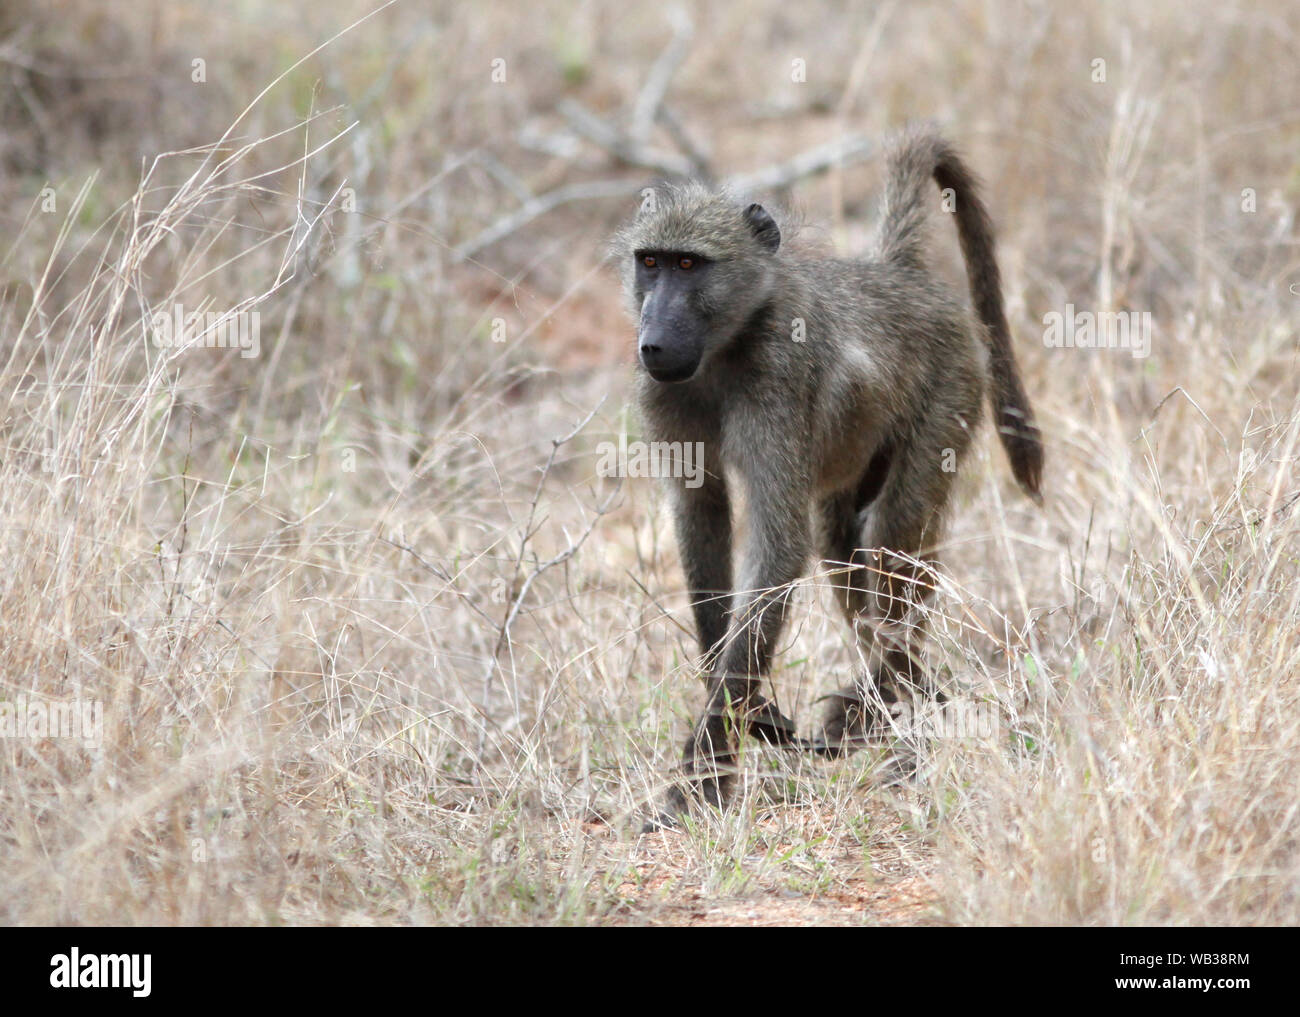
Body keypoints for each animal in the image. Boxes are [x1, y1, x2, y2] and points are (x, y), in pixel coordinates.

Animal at [615, 124, 1043, 829]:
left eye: (689, 266)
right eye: (649, 262)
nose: (652, 341)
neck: (727, 346)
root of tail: (900, 275)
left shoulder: (779, 378)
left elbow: (779, 547)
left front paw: (703, 775)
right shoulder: (663, 394)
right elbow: (703, 518)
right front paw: (744, 711)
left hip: (953, 388)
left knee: (890, 536)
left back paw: (895, 710)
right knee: (842, 545)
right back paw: (895, 697)